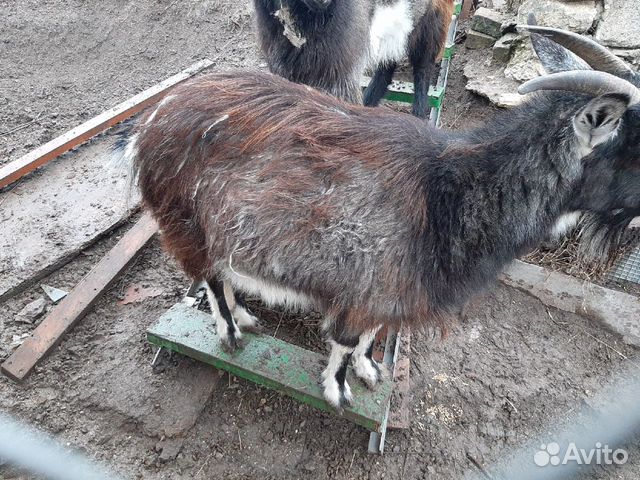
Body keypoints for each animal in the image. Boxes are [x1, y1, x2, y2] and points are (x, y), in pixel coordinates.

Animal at [124, 69, 640, 410]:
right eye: (635, 148)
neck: (447, 193)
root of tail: (153, 117)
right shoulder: (370, 278)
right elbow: (346, 338)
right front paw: (338, 391)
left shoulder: (388, 286)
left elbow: (371, 334)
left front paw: (370, 369)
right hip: (185, 219)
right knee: (210, 277)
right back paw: (231, 331)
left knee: (224, 272)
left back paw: (247, 316)